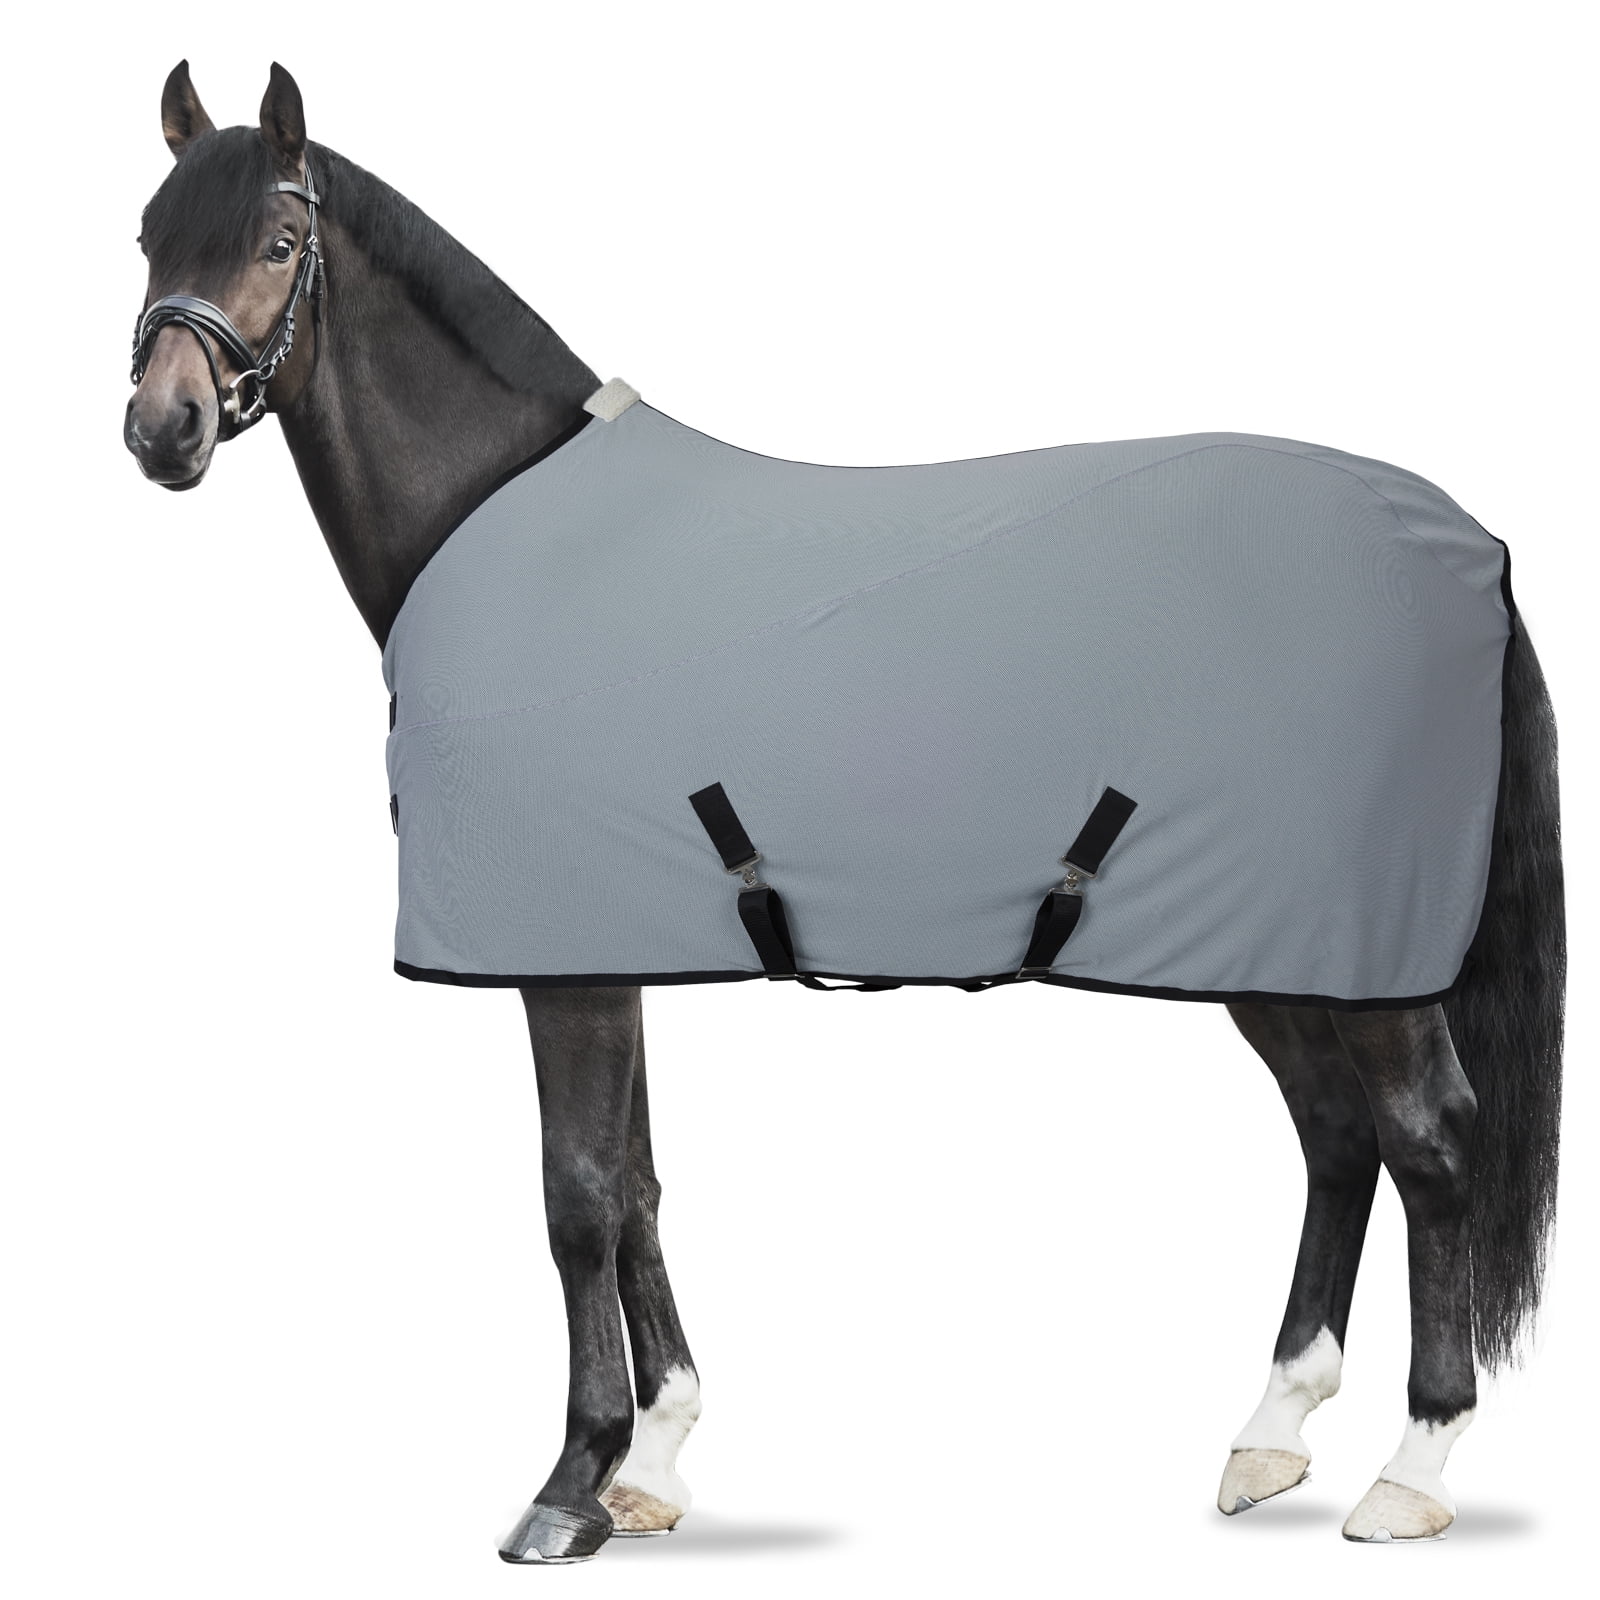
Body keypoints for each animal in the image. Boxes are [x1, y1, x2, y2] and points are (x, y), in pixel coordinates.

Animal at [123, 61, 1565, 1562]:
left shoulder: (563, 965)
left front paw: (569, 1483)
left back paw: (1414, 1466)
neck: (498, 518)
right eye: (148, 238)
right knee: (1338, 1139)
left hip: (1360, 950)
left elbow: (577, 1195)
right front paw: (655, 1460)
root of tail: (1475, 543)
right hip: (1269, 945)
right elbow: (638, 1181)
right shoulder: (613, 943)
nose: (163, 430)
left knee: (1432, 1143)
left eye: (277, 242)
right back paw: (1272, 1433)